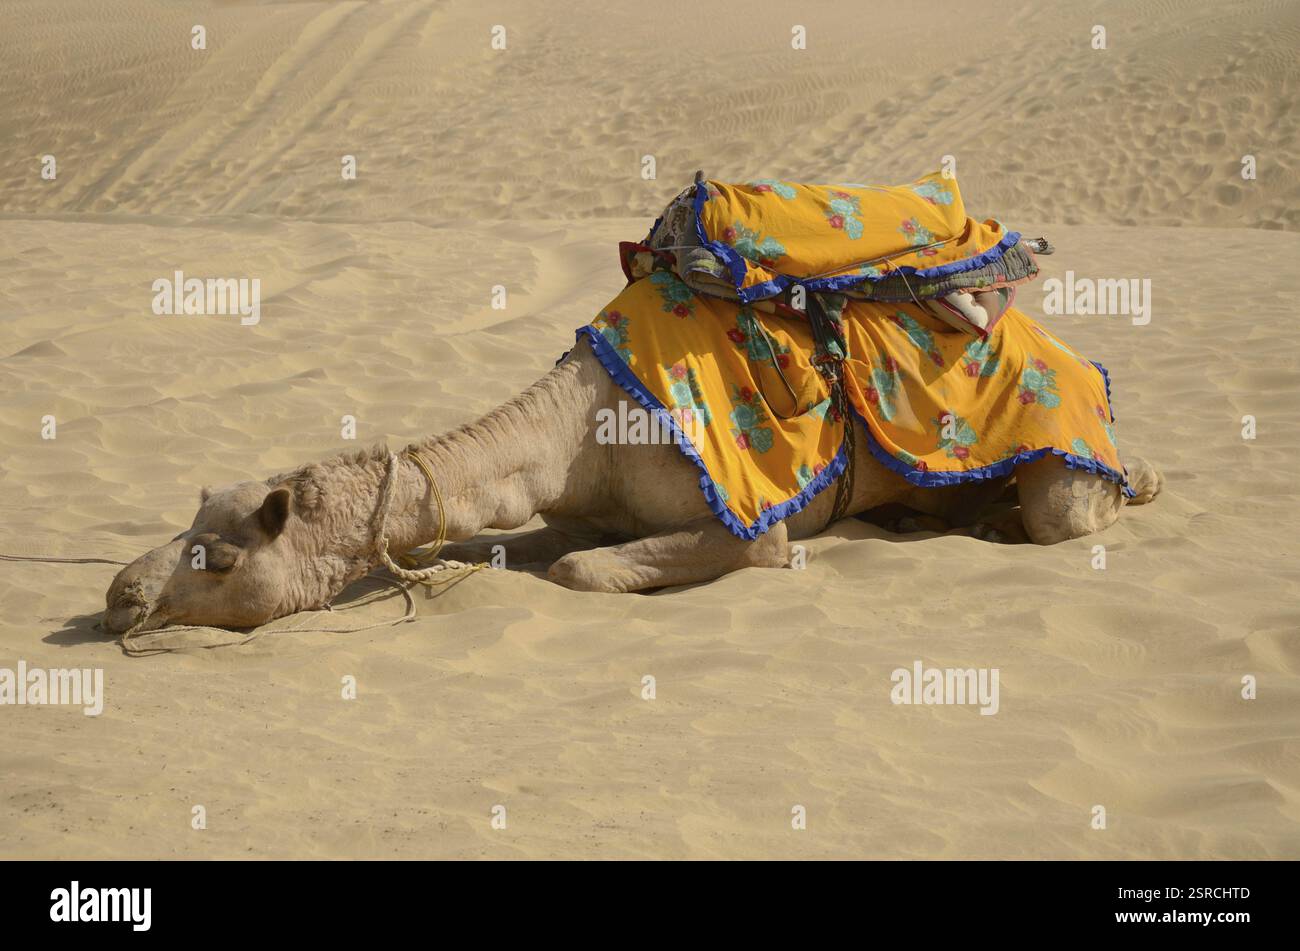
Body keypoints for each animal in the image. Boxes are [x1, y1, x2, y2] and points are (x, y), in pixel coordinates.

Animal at [102, 336, 1163, 636]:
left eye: (218, 557)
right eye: (185, 522)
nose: (118, 594)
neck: (579, 431)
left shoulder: (752, 523)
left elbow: (577, 571)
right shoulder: (570, 505)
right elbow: (526, 547)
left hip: (1060, 433)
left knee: (1071, 506)